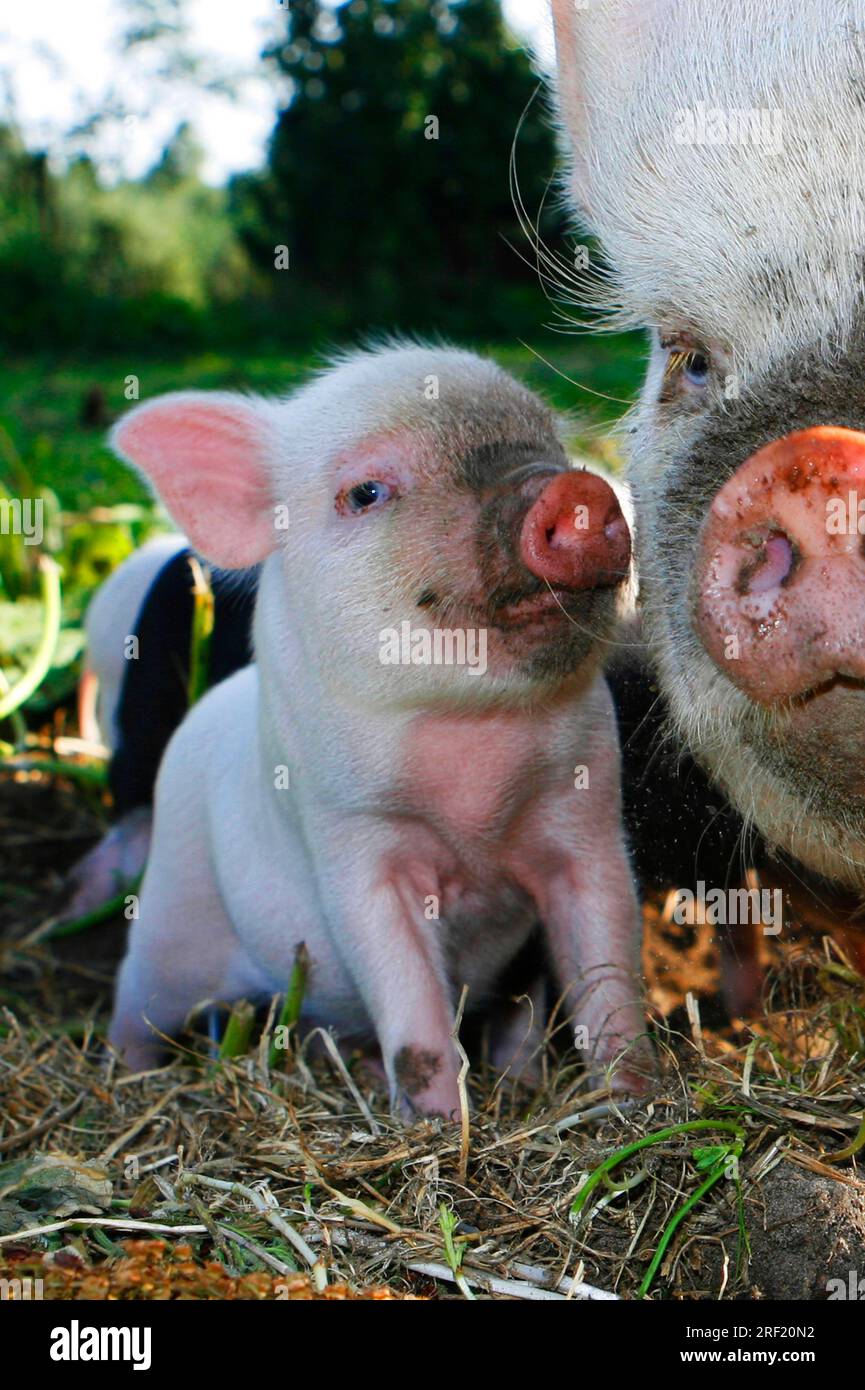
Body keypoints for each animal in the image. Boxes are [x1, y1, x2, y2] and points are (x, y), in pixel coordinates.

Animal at [104, 344, 649, 1114]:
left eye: (546, 441)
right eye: (365, 493)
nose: (577, 488)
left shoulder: (586, 818)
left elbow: (606, 967)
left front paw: (634, 1098)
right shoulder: (355, 845)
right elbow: (412, 1003)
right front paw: (439, 1123)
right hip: (172, 916)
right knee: (137, 996)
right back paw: (121, 1071)